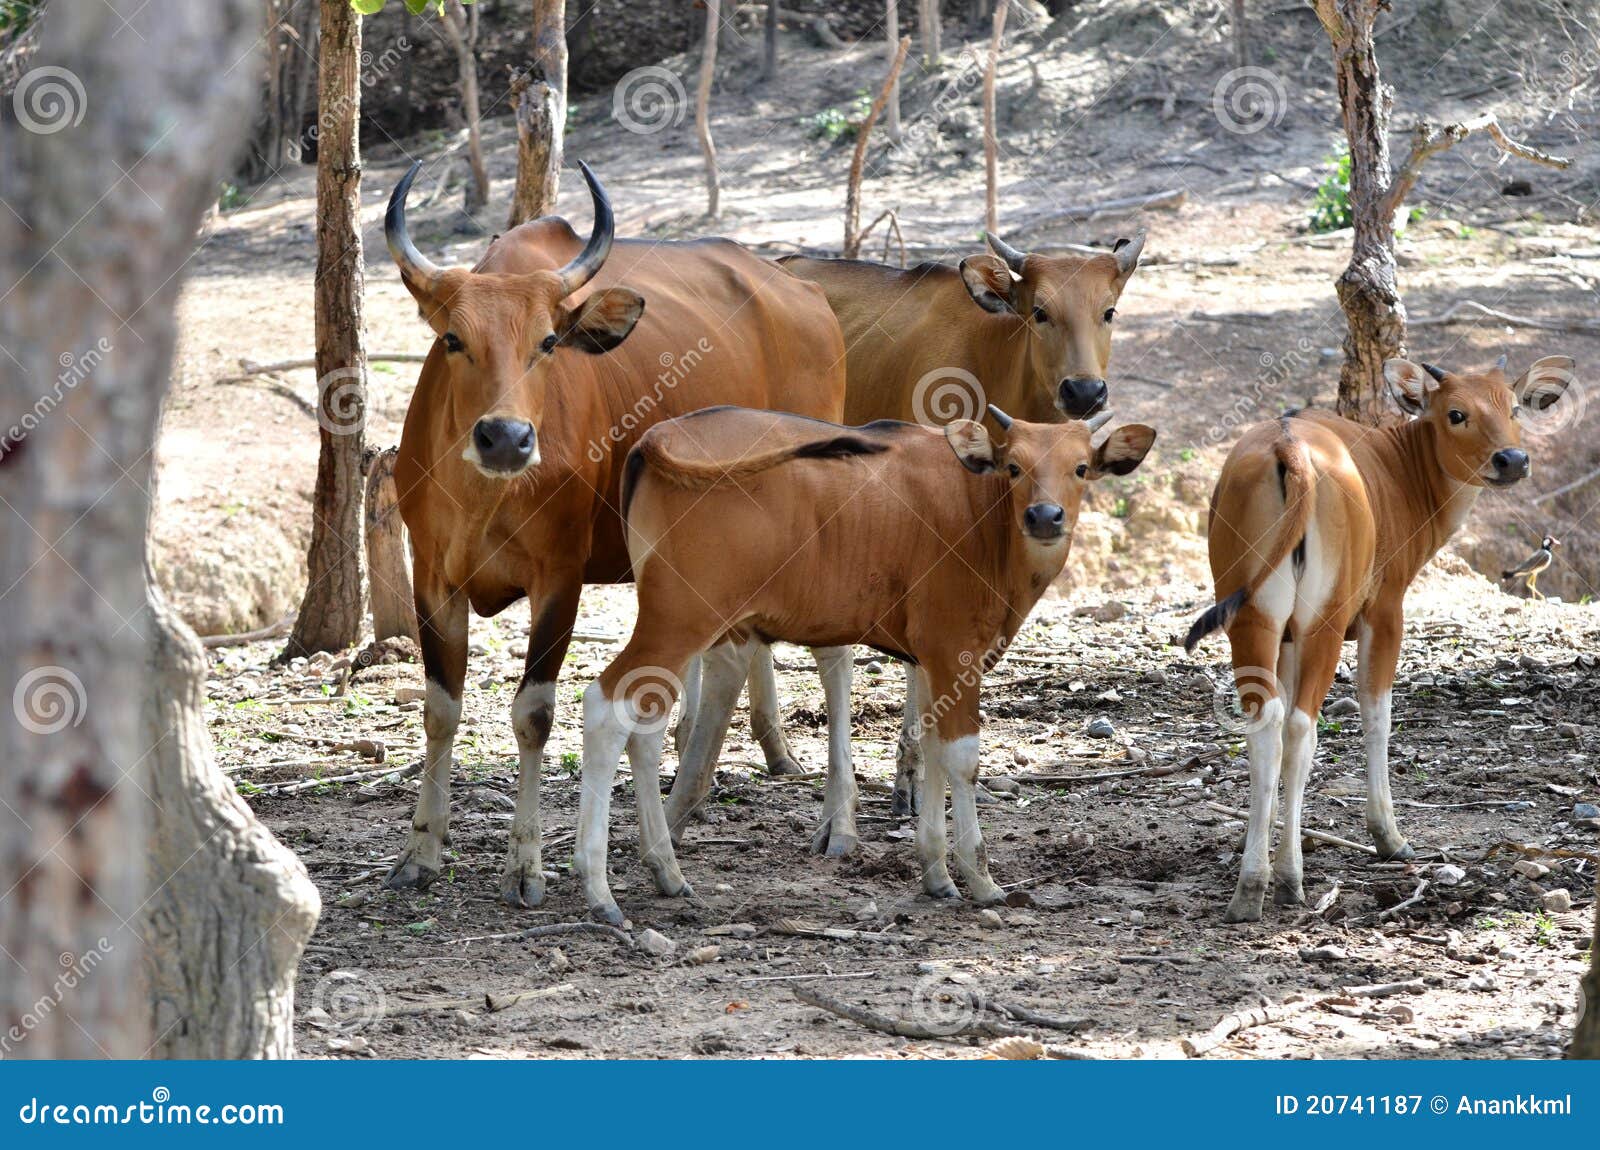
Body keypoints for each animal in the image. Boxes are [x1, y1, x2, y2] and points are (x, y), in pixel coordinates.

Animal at [383, 160, 849, 908]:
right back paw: (697, 793)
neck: (485, 495)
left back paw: (838, 821)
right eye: (453, 340)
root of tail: (804, 293)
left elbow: (534, 714)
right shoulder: (432, 577)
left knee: (832, 655)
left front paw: (526, 864)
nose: (505, 437)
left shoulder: (559, 579)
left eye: (547, 342)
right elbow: (440, 710)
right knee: (726, 653)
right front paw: (421, 851)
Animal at [575, 404, 1156, 924]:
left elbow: (930, 750)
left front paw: (937, 875)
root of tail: (657, 439)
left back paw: (666, 871)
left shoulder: (931, 660)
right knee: (606, 705)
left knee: (646, 724)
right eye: (1013, 466)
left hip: (682, 626)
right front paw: (981, 879)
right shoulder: (955, 651)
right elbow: (963, 758)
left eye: (1080, 467)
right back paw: (598, 890)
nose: (1045, 516)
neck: (978, 514)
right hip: (680, 620)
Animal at [1184, 354, 1574, 922]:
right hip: (1324, 617)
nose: (1512, 459)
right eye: (1456, 413)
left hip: (1253, 615)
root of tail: (1289, 448)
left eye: (1515, 407)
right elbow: (1377, 714)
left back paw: (1249, 886)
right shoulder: (1385, 608)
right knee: (1301, 729)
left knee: (1267, 723)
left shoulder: (1287, 637)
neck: (1398, 474)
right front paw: (1388, 835)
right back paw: (1288, 878)